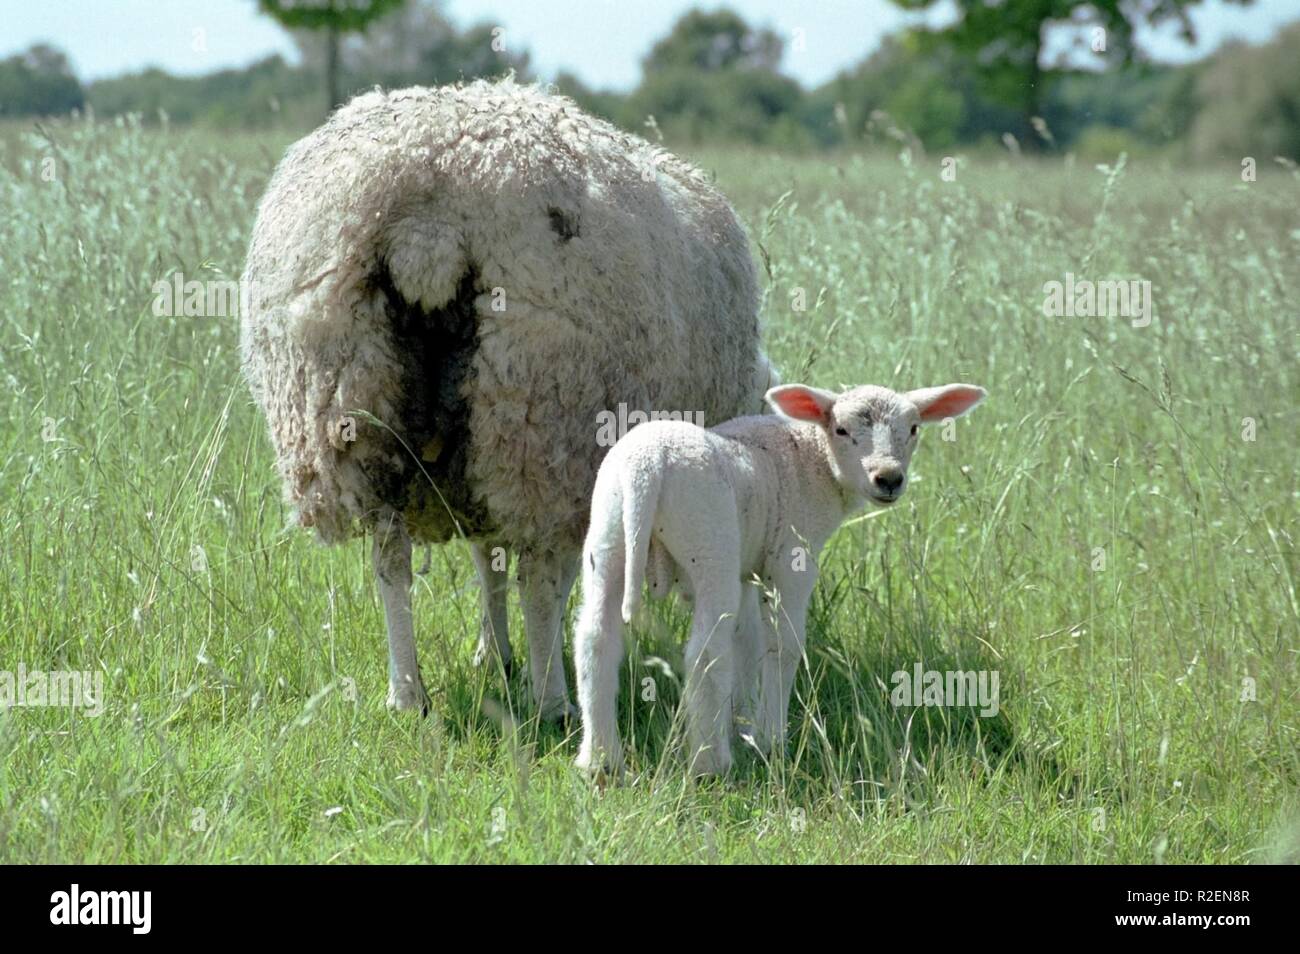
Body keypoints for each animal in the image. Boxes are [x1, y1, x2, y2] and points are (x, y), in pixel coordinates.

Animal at [239, 78, 762, 719]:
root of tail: (428, 220)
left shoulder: (474, 471)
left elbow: (485, 559)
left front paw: (492, 653)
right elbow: (530, 574)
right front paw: (520, 658)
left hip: (362, 403)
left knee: (391, 561)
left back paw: (408, 694)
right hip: (546, 416)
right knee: (540, 580)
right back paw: (553, 699)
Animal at [573, 381, 987, 777]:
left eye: (914, 428)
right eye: (841, 429)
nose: (888, 478)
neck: (812, 459)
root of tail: (646, 469)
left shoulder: (748, 568)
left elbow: (747, 641)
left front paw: (741, 722)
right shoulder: (791, 559)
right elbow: (782, 645)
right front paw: (768, 739)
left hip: (607, 537)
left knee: (596, 637)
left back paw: (600, 760)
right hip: (709, 542)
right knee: (705, 653)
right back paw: (710, 764)